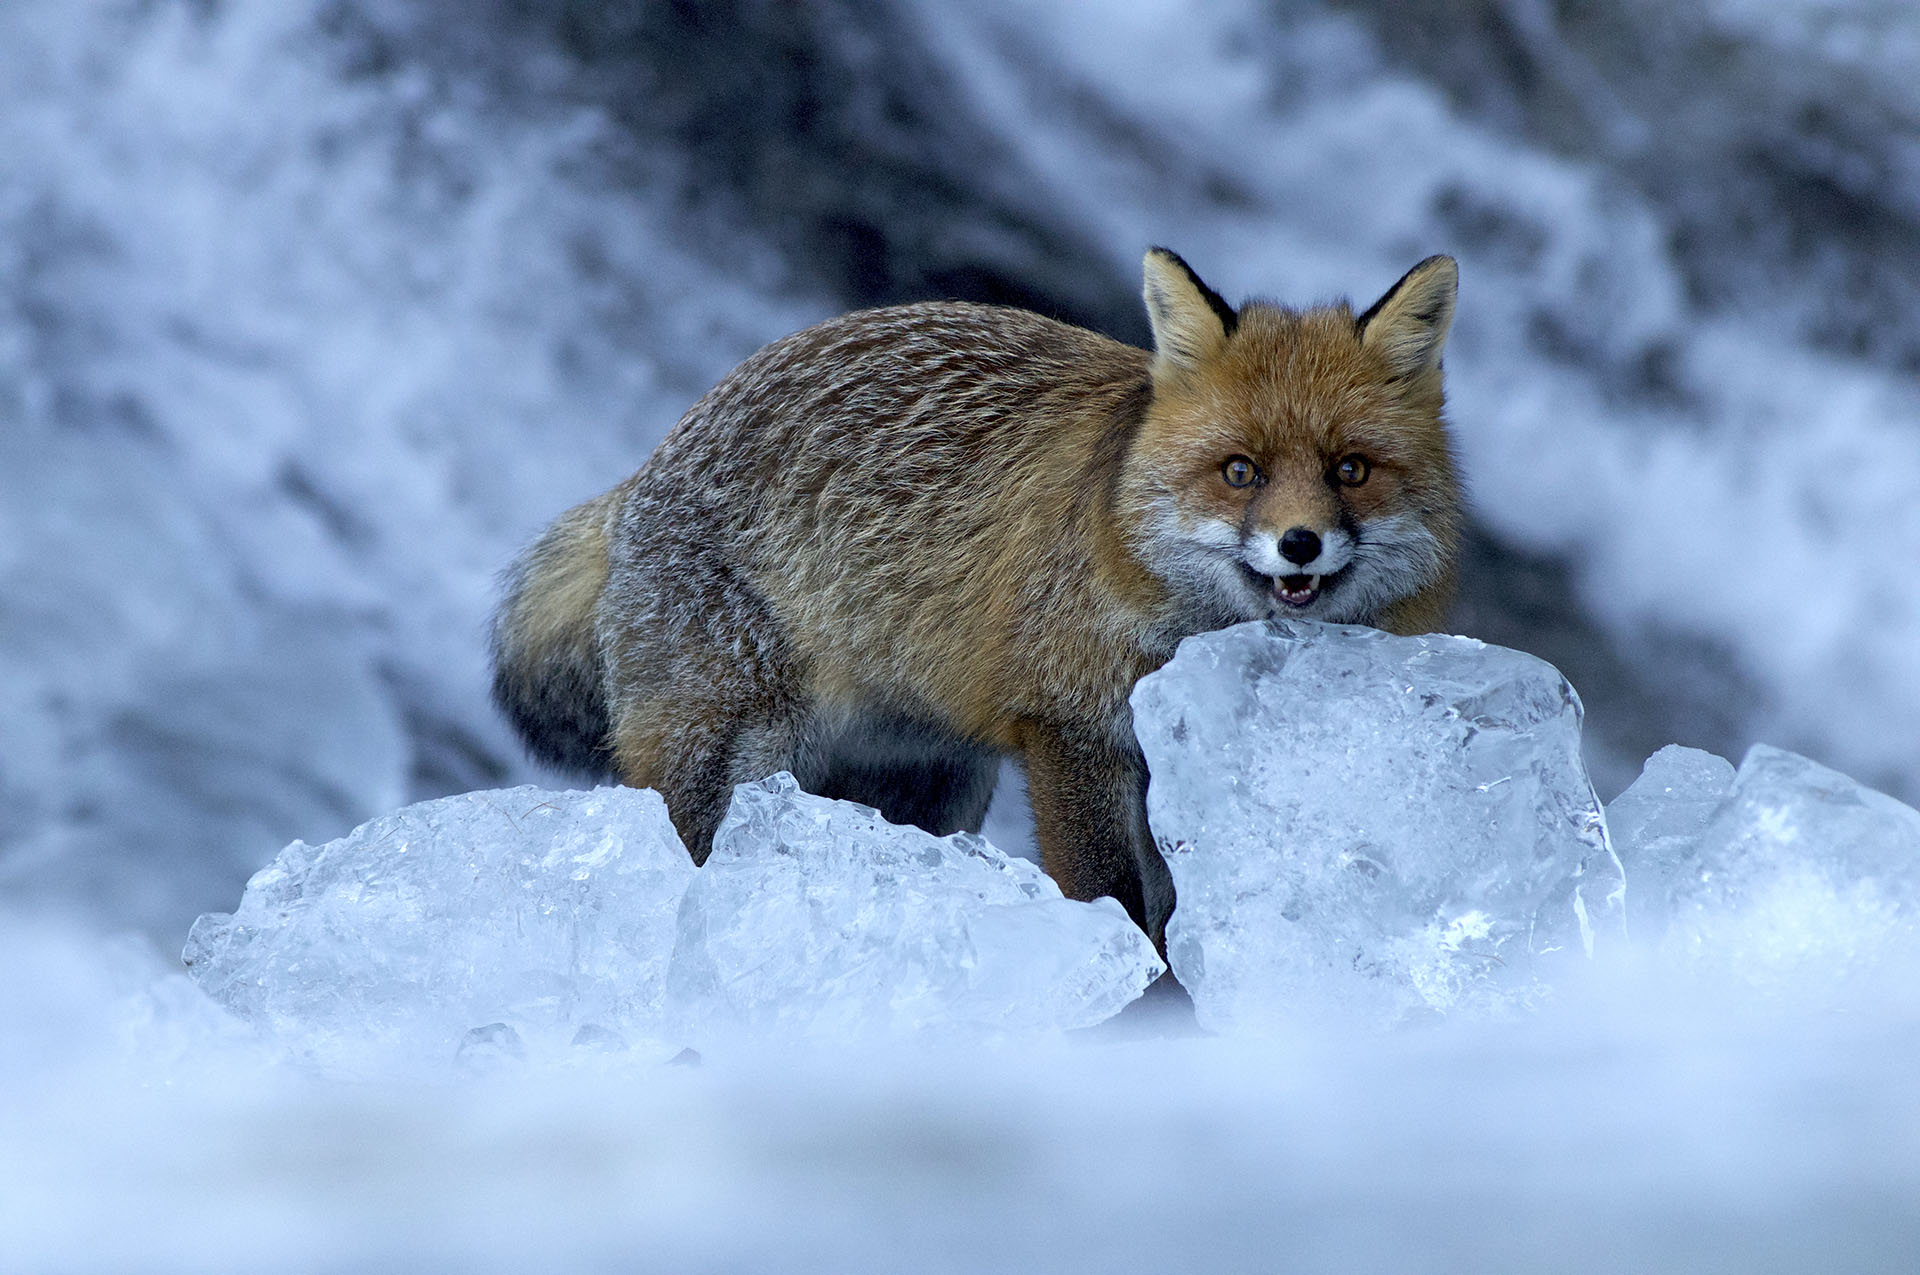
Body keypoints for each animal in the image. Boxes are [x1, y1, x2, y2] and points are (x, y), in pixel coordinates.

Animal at [491, 249, 1462, 952]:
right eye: (1241, 472)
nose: (1299, 542)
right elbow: (1114, 900)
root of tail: (640, 476)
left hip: (928, 785)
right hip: (734, 755)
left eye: (1350, 470)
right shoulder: (1072, 727)